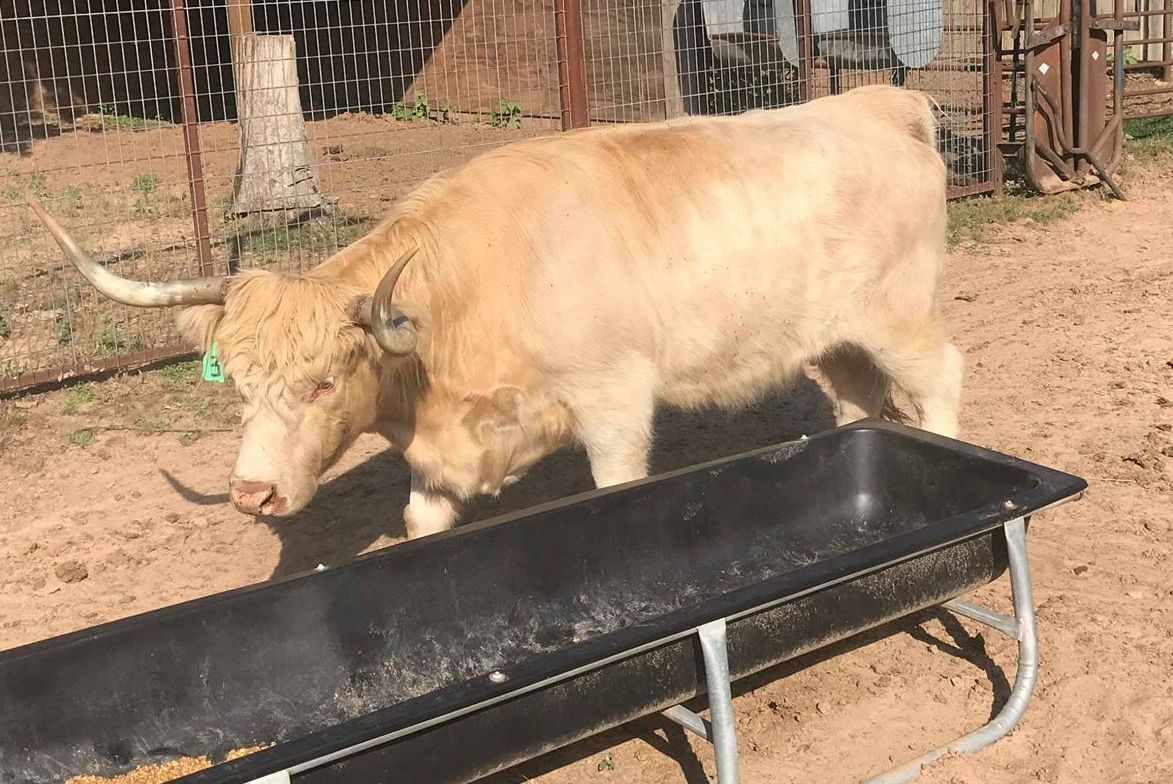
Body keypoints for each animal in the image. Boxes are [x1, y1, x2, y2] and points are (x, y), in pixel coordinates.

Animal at [31, 84, 962, 540]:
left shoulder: (613, 400)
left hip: (902, 320)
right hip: (836, 339)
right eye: (236, 384)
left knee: (940, 389)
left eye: (326, 383)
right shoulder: (438, 458)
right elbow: (422, 521)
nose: (252, 495)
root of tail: (870, 106)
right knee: (858, 402)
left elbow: (616, 481)